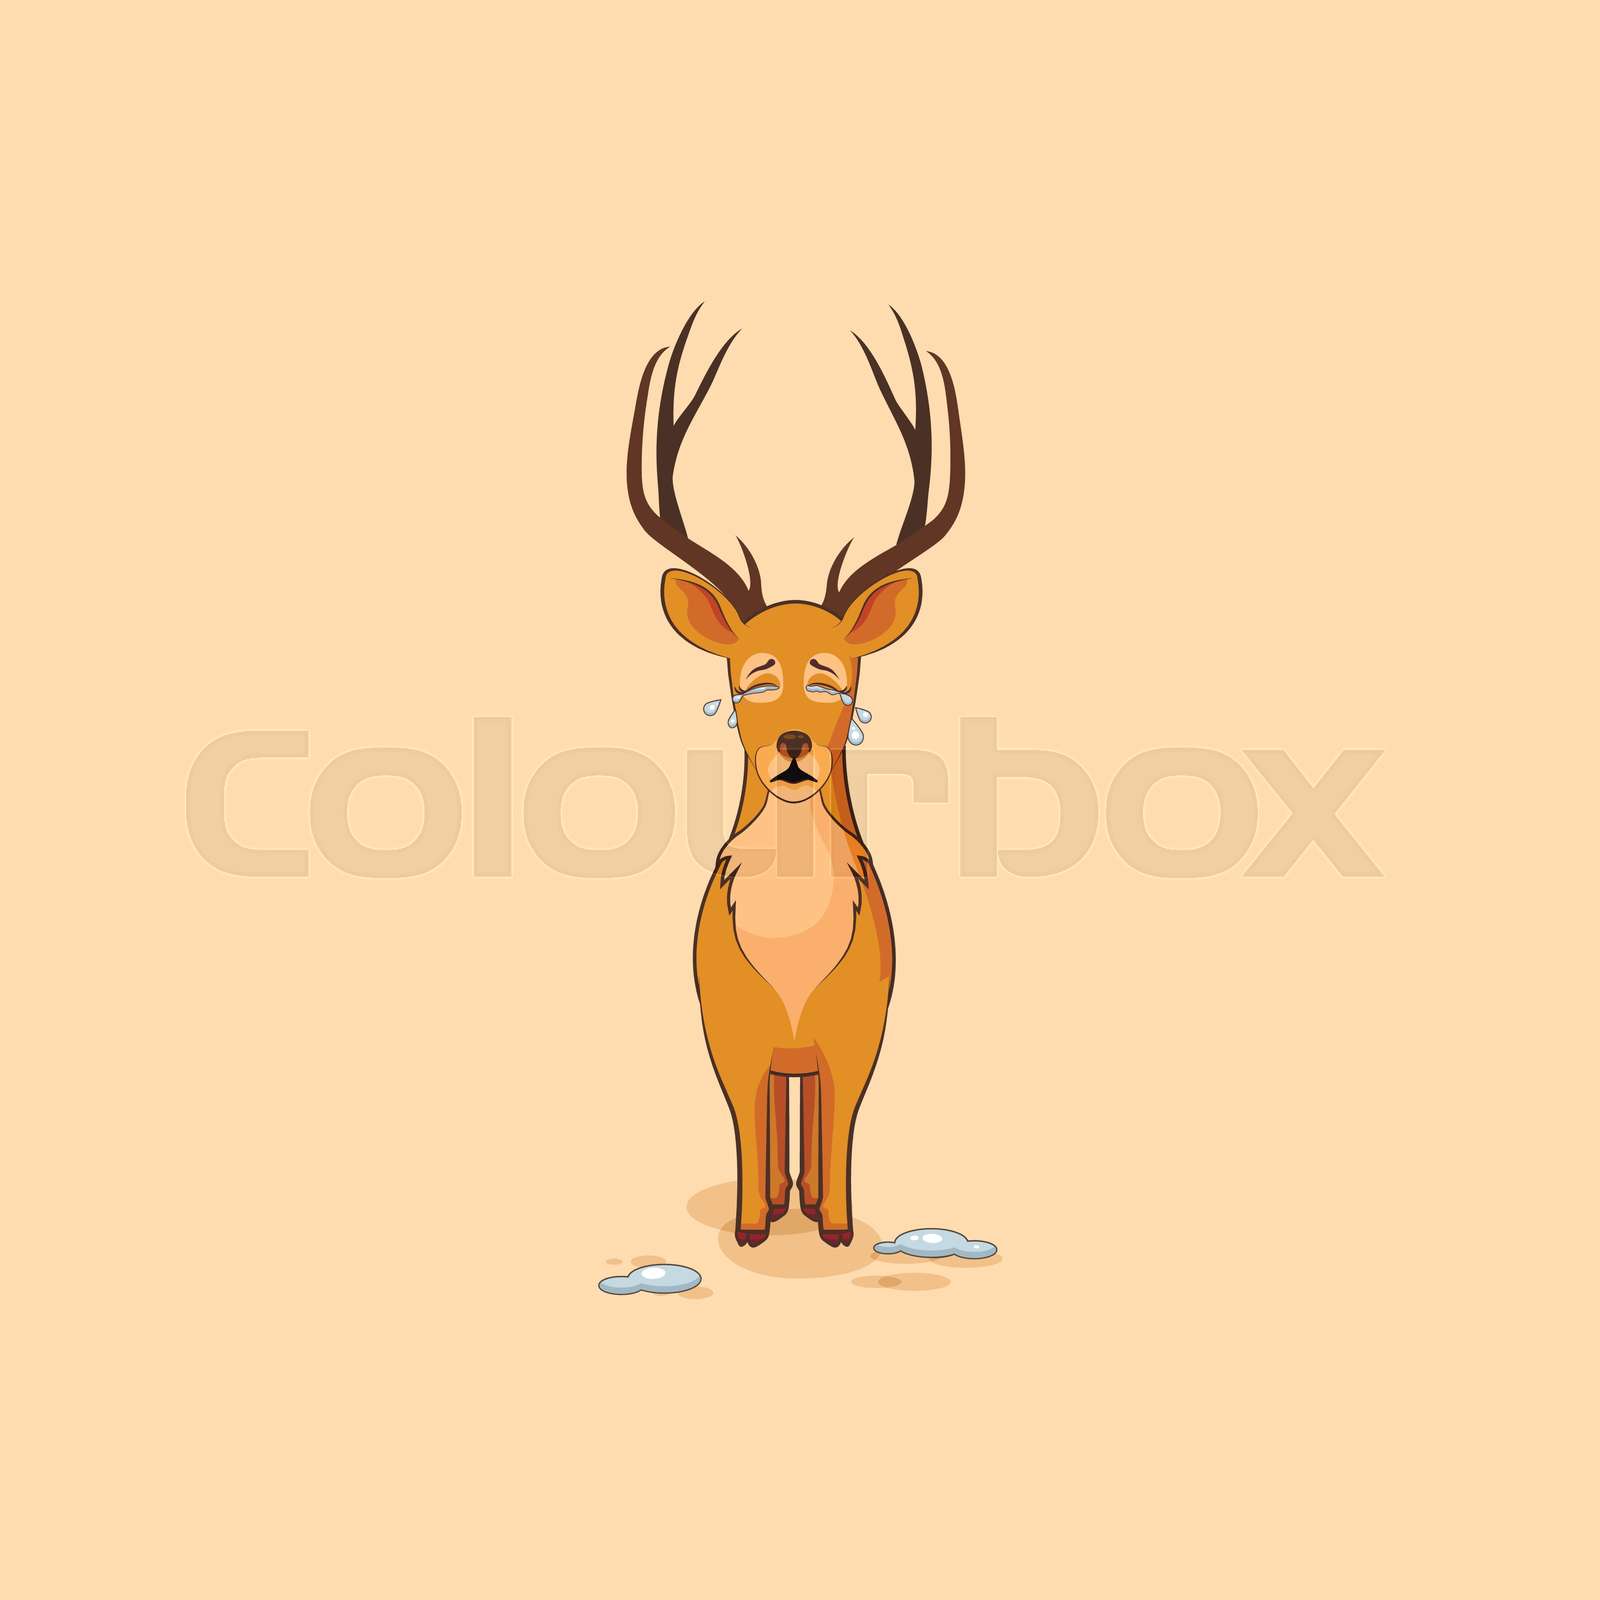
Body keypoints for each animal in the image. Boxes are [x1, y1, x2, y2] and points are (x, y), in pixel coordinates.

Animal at [626, 307, 964, 1248]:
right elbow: (746, 1127)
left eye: (832, 681)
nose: (792, 745)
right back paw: (781, 1202)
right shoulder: (728, 1033)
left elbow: (841, 1127)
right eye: (750, 681)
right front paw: (750, 1226)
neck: (792, 967)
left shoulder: (860, 1032)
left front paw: (838, 1227)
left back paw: (805, 1203)